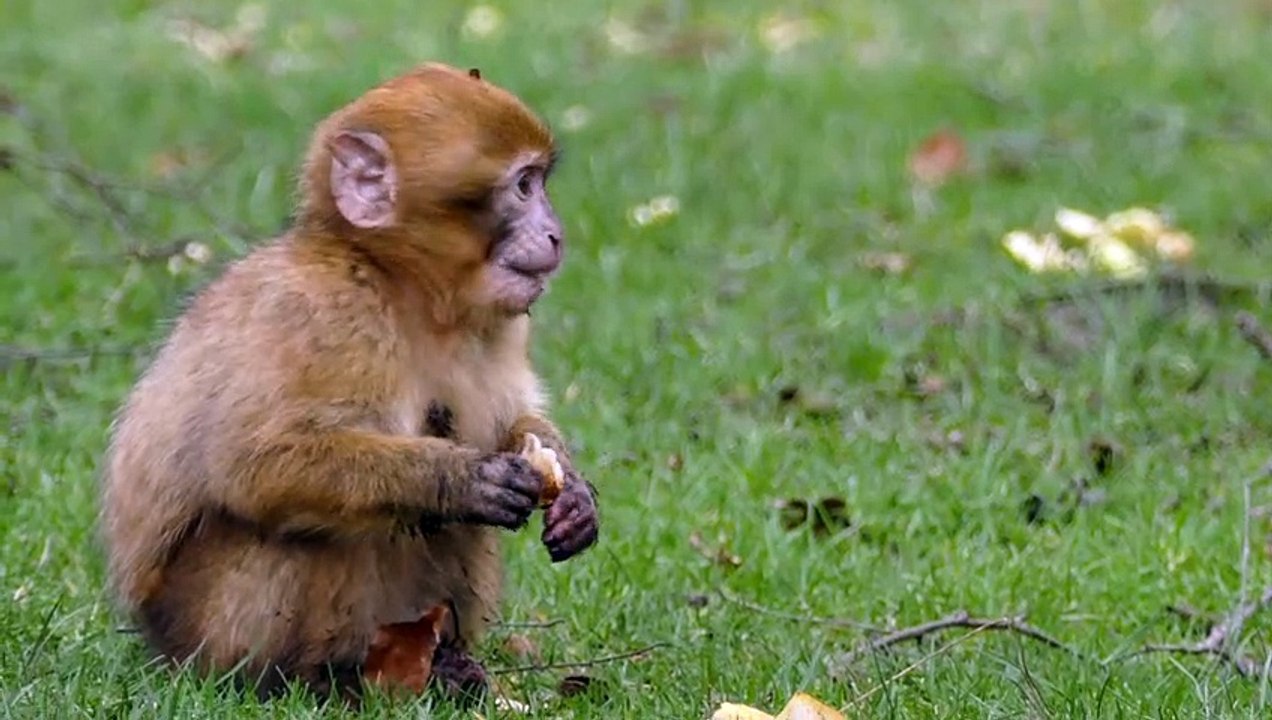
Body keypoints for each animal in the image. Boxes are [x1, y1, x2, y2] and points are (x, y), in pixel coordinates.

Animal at [98, 62, 599, 702]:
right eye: (523, 186)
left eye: (539, 181)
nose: (557, 233)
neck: (401, 286)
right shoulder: (325, 314)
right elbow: (254, 464)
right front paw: (458, 479)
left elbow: (514, 421)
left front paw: (573, 492)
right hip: (201, 628)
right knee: (298, 530)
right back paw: (317, 680)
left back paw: (443, 666)